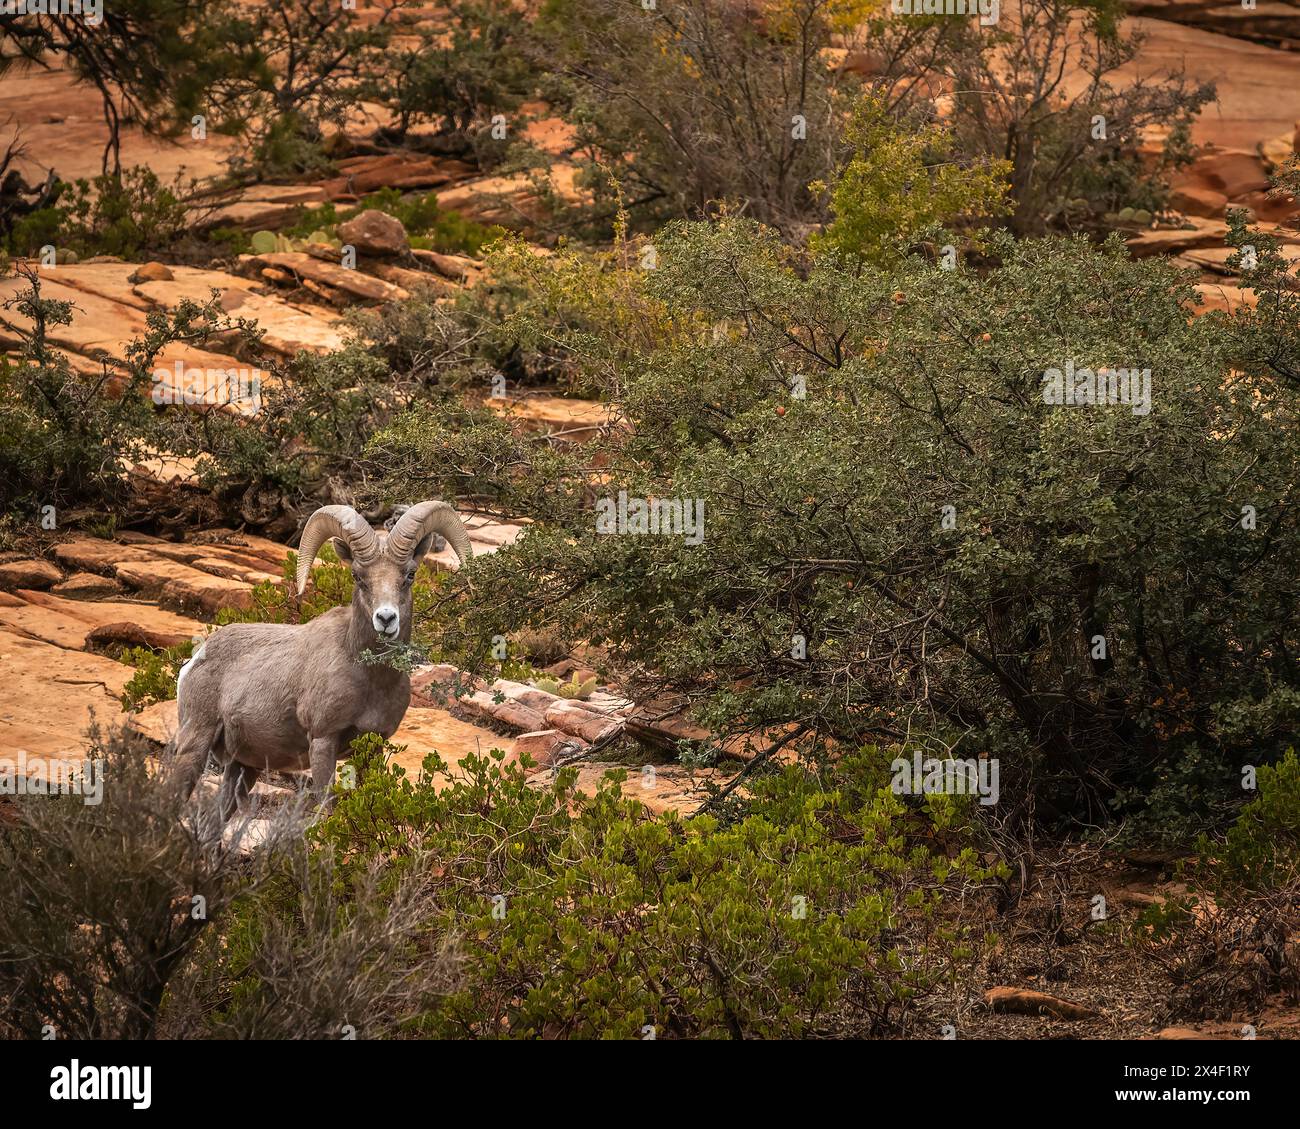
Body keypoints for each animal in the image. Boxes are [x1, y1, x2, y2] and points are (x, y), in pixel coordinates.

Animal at [167, 500, 473, 827]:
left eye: (410, 574)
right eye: (358, 576)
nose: (386, 618)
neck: (370, 679)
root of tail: (195, 659)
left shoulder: (373, 746)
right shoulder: (323, 741)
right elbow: (329, 809)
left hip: (243, 767)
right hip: (195, 744)